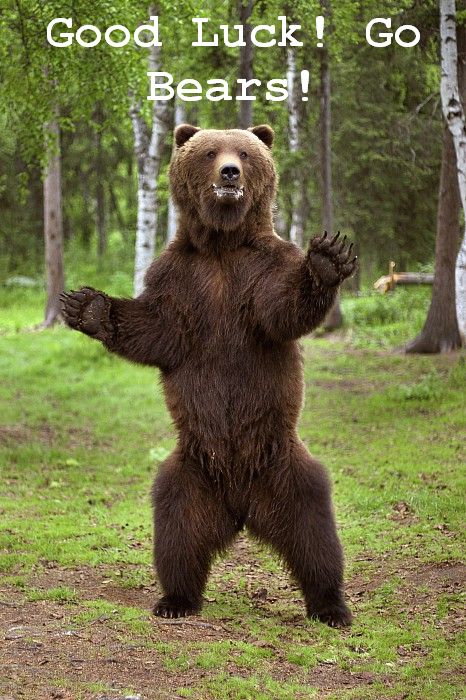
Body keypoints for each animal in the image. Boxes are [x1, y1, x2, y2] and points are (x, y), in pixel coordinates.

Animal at [61, 124, 356, 627]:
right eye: (210, 152)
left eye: (244, 152)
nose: (230, 172)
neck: (222, 245)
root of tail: (241, 505)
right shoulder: (179, 278)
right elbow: (158, 329)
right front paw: (89, 307)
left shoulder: (261, 271)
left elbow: (281, 310)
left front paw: (326, 260)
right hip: (191, 472)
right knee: (177, 531)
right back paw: (175, 600)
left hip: (283, 463)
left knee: (314, 530)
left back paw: (331, 605)